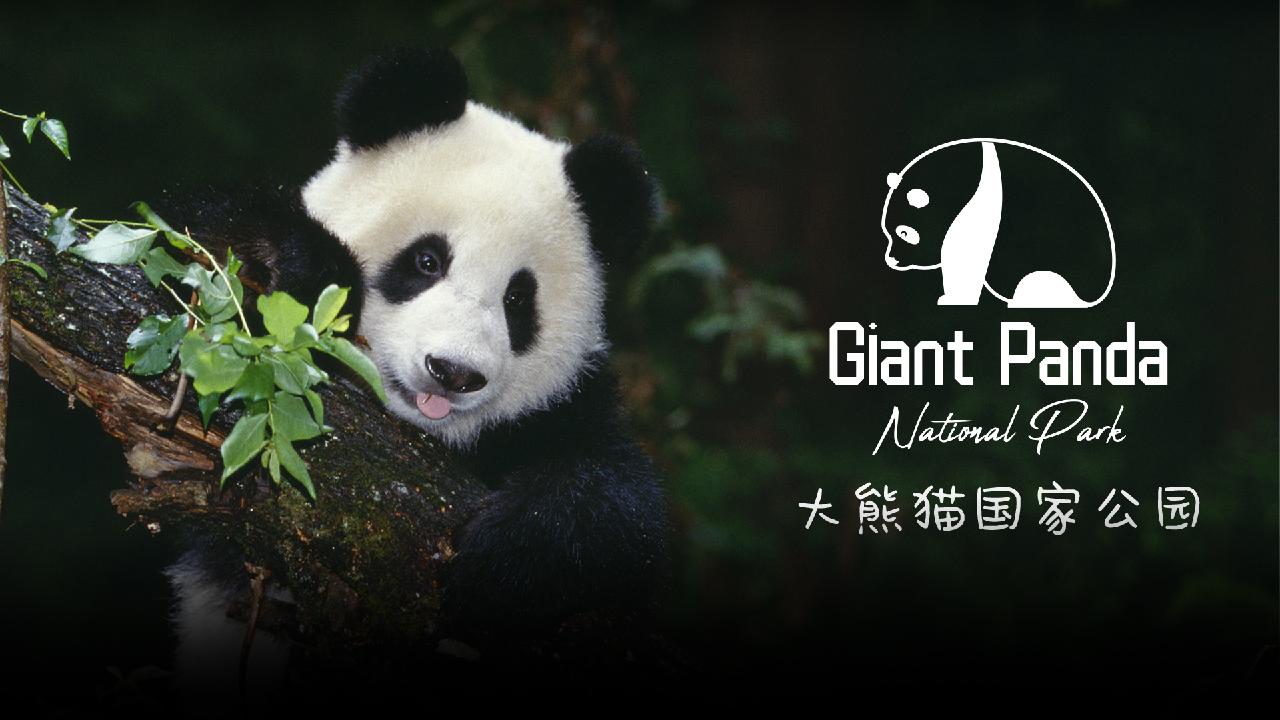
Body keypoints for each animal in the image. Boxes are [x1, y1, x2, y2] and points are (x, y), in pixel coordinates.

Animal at [163, 47, 669, 688]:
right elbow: (197, 236)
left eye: (517, 299)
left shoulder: (563, 407)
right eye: (427, 260)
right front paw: (286, 270)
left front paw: (499, 562)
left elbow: (621, 509)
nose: (453, 372)